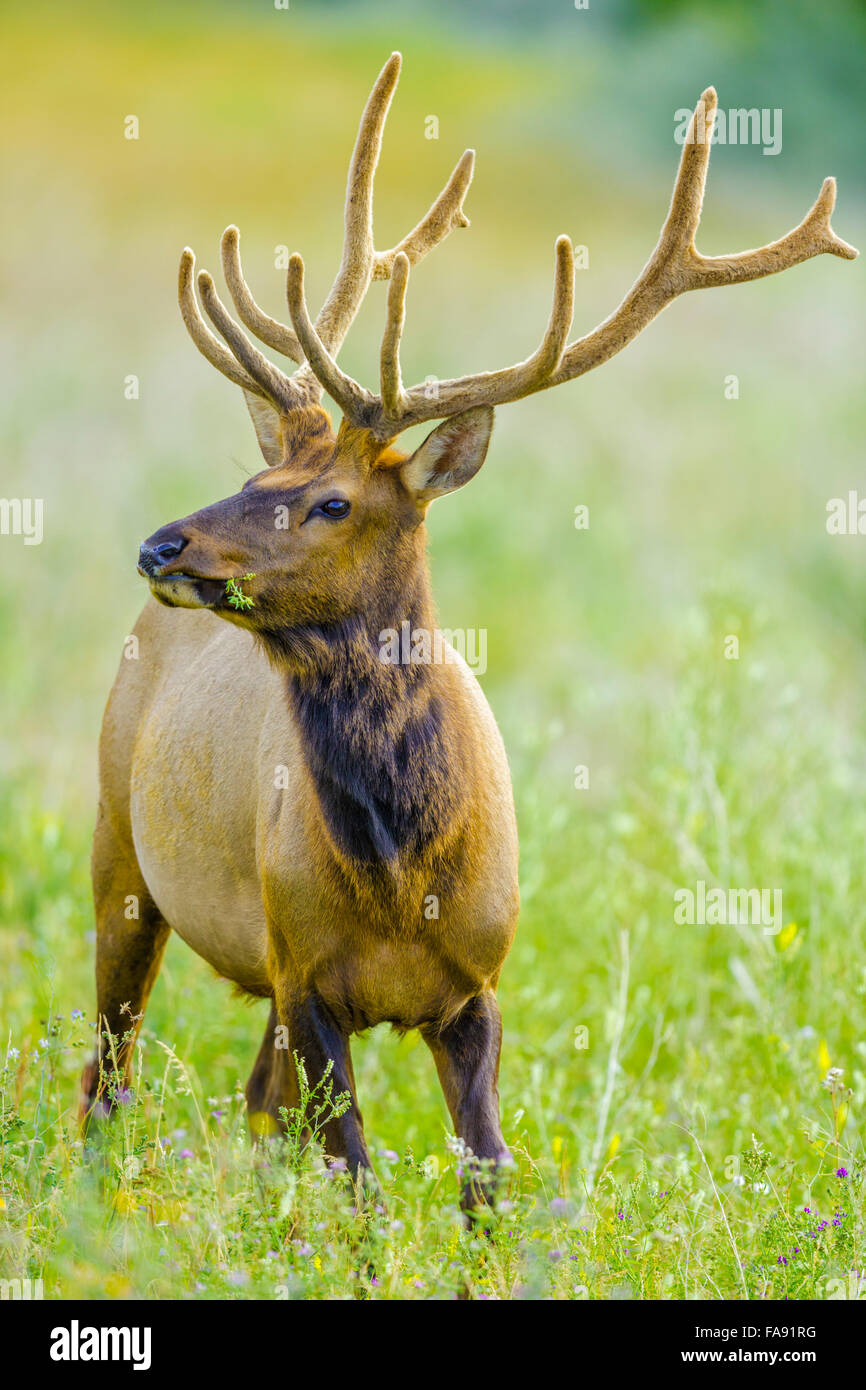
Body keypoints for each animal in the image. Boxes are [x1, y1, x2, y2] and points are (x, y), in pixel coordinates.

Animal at [82, 53, 856, 1205]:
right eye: (256, 480)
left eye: (329, 502)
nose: (162, 546)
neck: (405, 879)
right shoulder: (305, 968)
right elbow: (360, 1178)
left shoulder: (475, 983)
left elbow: (485, 1176)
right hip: (119, 849)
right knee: (108, 1069)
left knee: (247, 1104)